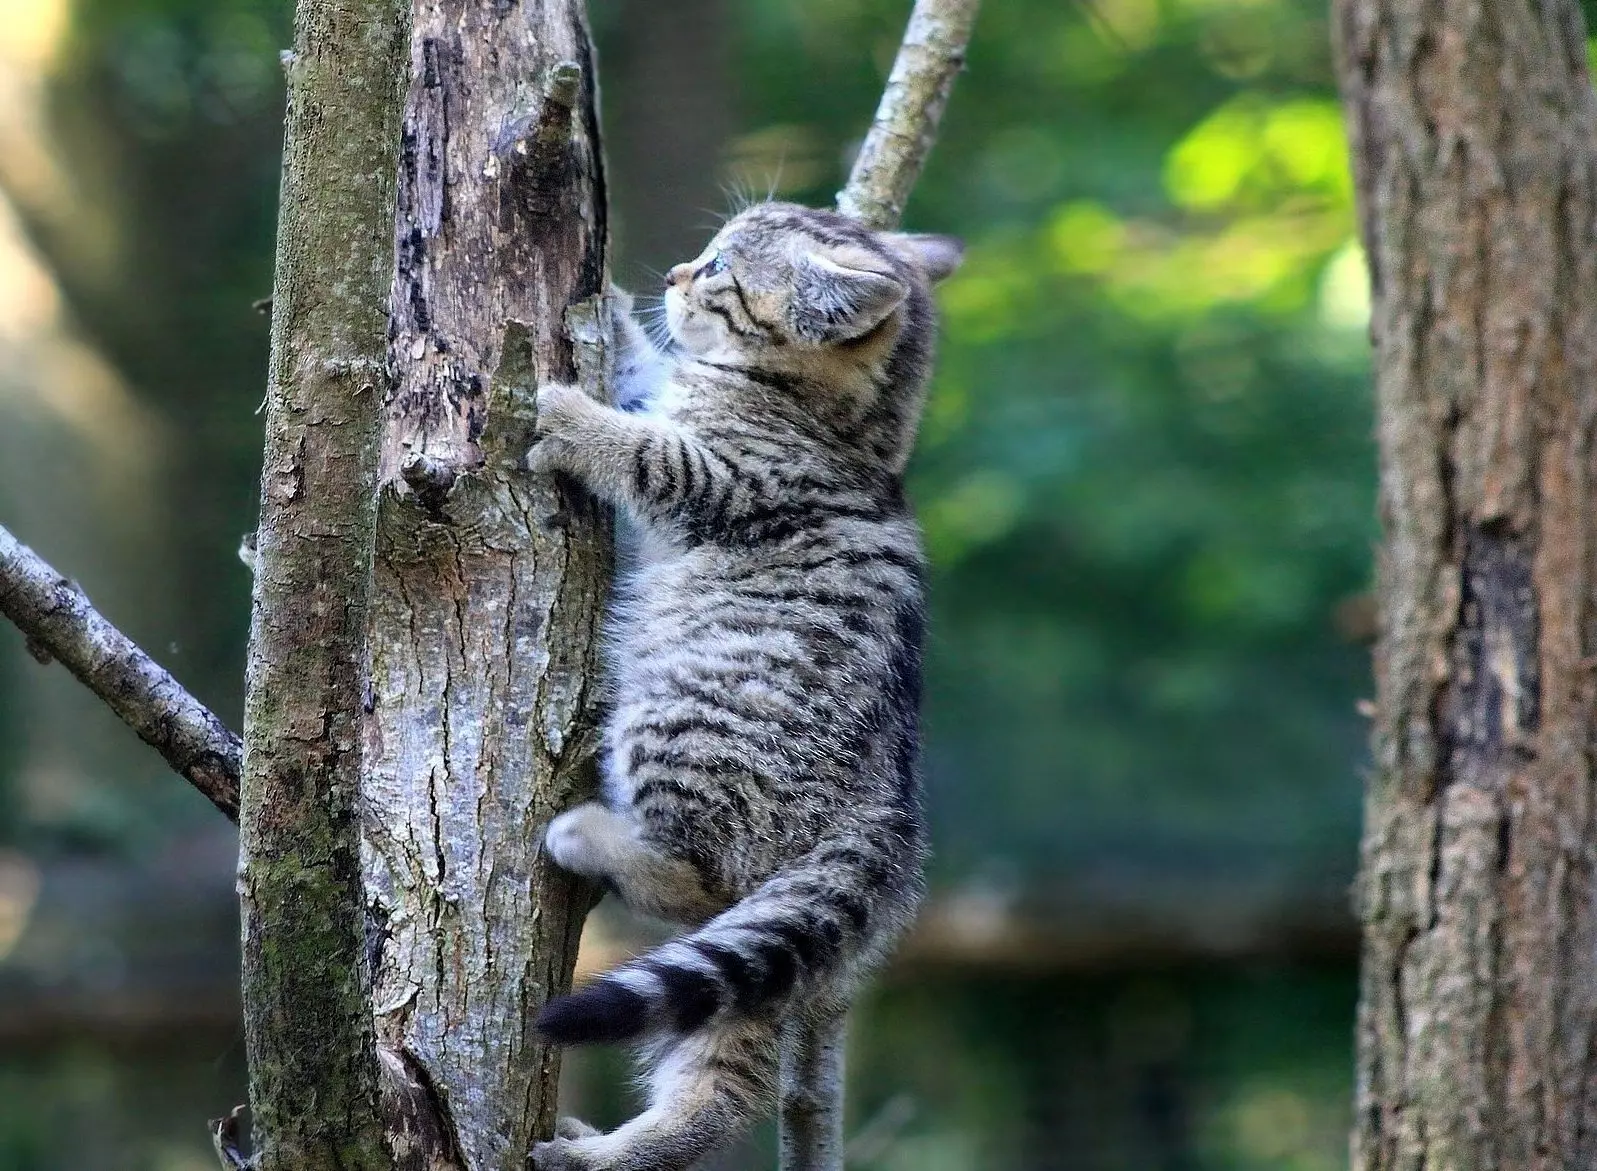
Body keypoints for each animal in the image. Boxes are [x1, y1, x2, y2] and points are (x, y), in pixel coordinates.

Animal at [530, 202, 964, 1169]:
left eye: (723, 267)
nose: (673, 276)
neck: (851, 428)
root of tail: (887, 811)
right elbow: (646, 377)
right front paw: (613, 309)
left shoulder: (725, 478)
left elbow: (649, 453)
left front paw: (574, 418)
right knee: (722, 1088)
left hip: (684, 717)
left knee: (695, 877)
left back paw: (591, 837)